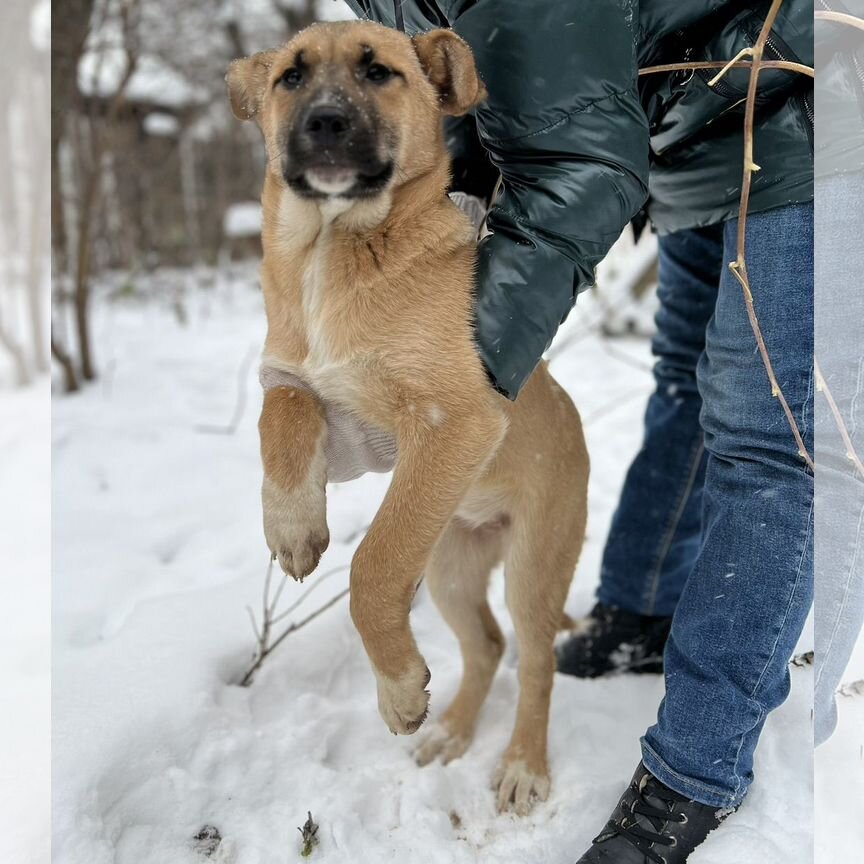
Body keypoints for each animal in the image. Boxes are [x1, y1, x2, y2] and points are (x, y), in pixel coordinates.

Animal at [230, 22, 592, 816]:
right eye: (290, 77)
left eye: (380, 73)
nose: (324, 124)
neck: (331, 246)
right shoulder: (303, 380)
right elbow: (280, 415)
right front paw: (291, 525)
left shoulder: (453, 418)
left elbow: (374, 563)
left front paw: (397, 691)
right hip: (453, 564)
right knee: (487, 645)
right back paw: (452, 730)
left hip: (532, 563)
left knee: (536, 657)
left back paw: (522, 765)